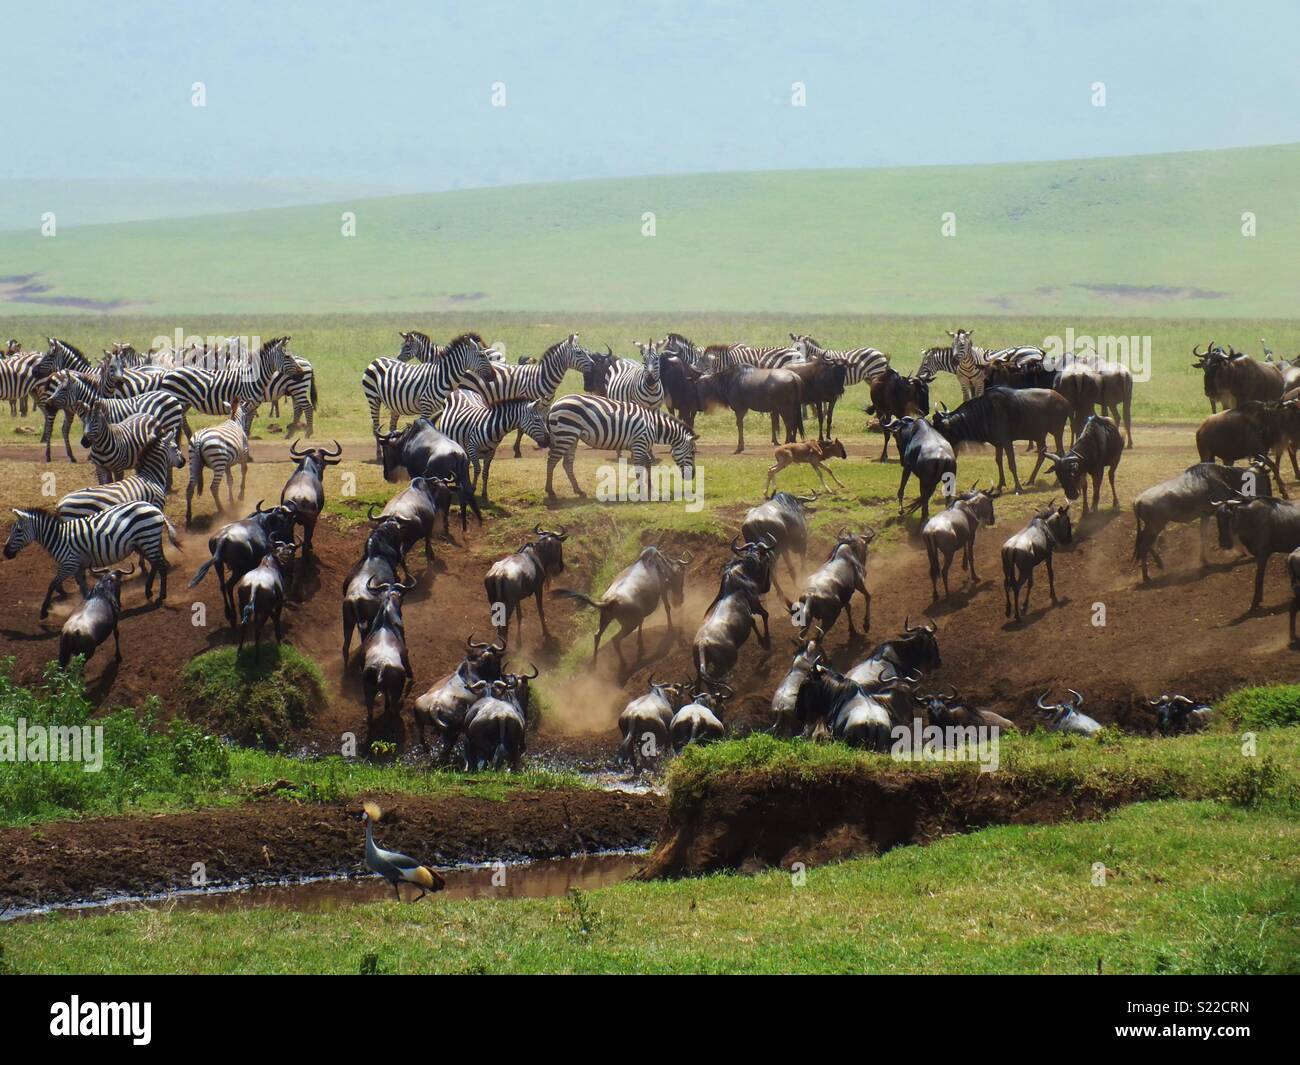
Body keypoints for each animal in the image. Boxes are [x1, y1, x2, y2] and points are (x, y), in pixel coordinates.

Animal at [4, 500, 180, 618]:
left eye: (18, 531)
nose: (5, 553)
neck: (58, 539)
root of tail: (153, 507)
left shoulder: (69, 564)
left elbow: (52, 584)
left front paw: (43, 612)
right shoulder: (78, 567)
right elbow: (83, 587)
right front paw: (87, 606)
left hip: (148, 540)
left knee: (161, 566)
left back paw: (161, 596)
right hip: (144, 543)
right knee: (155, 565)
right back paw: (148, 590)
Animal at [361, 333, 496, 458]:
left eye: (407, 346)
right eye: (482, 355)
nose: (493, 376)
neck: (441, 376)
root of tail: (377, 359)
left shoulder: (442, 408)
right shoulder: (426, 406)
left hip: (394, 403)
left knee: (391, 426)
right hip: (373, 398)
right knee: (375, 427)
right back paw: (379, 454)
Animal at [544, 394, 697, 499]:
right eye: (692, 453)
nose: (694, 475)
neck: (654, 427)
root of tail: (554, 404)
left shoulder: (642, 445)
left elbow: (647, 464)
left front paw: (649, 488)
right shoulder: (639, 444)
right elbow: (639, 468)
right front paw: (641, 491)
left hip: (572, 437)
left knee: (567, 463)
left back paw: (578, 491)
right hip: (565, 435)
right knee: (551, 461)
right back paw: (550, 491)